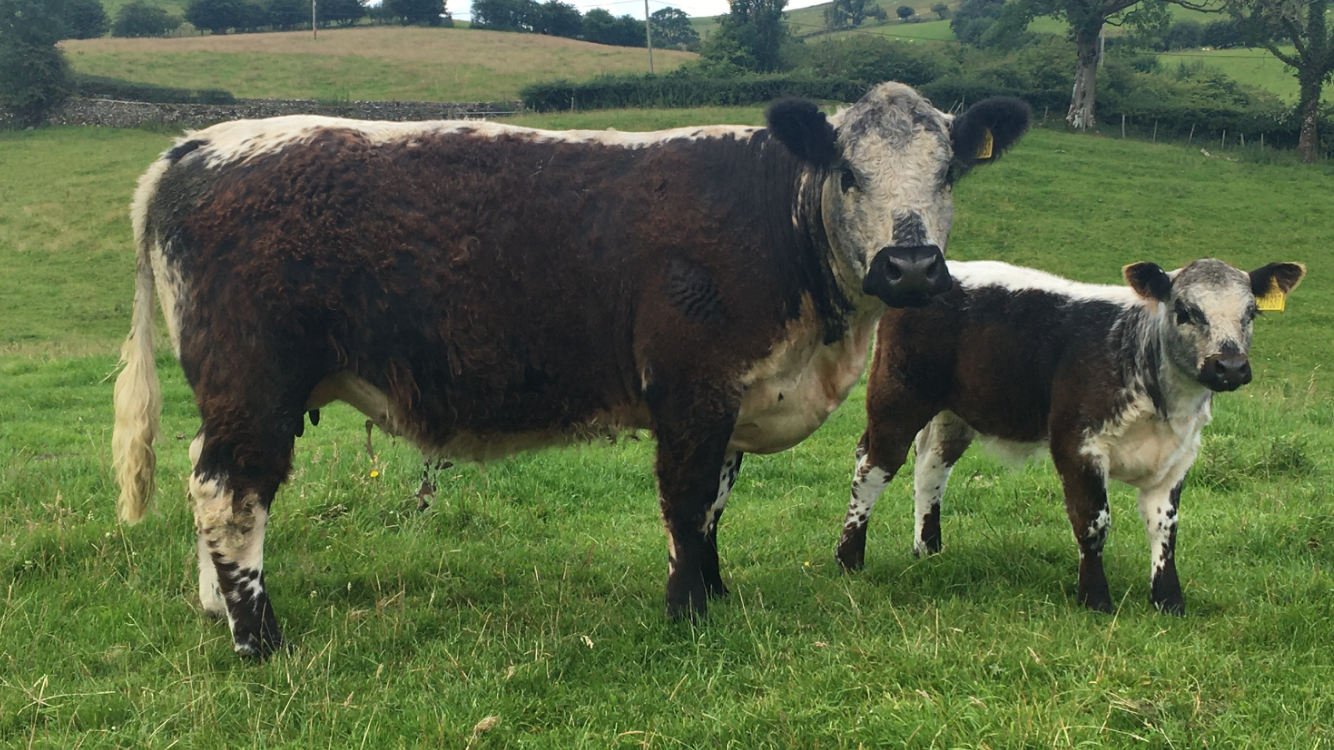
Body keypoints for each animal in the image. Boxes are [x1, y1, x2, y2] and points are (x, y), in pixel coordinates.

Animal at [112, 82, 1030, 657]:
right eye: (847, 170)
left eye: (950, 170)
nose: (910, 266)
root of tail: (200, 144)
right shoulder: (692, 389)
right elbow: (686, 499)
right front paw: (687, 611)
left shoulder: (734, 399)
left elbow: (715, 506)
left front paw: (717, 590)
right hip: (254, 380)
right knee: (229, 492)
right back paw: (259, 639)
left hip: (237, 391)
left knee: (206, 475)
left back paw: (214, 606)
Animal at [835, 258, 1306, 615]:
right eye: (1185, 311)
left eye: (1251, 313)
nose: (1230, 366)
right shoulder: (1077, 445)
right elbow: (1093, 522)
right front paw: (1095, 599)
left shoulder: (1177, 458)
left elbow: (1165, 529)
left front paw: (1169, 600)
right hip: (897, 400)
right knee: (872, 468)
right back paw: (849, 558)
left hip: (953, 413)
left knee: (931, 468)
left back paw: (928, 550)